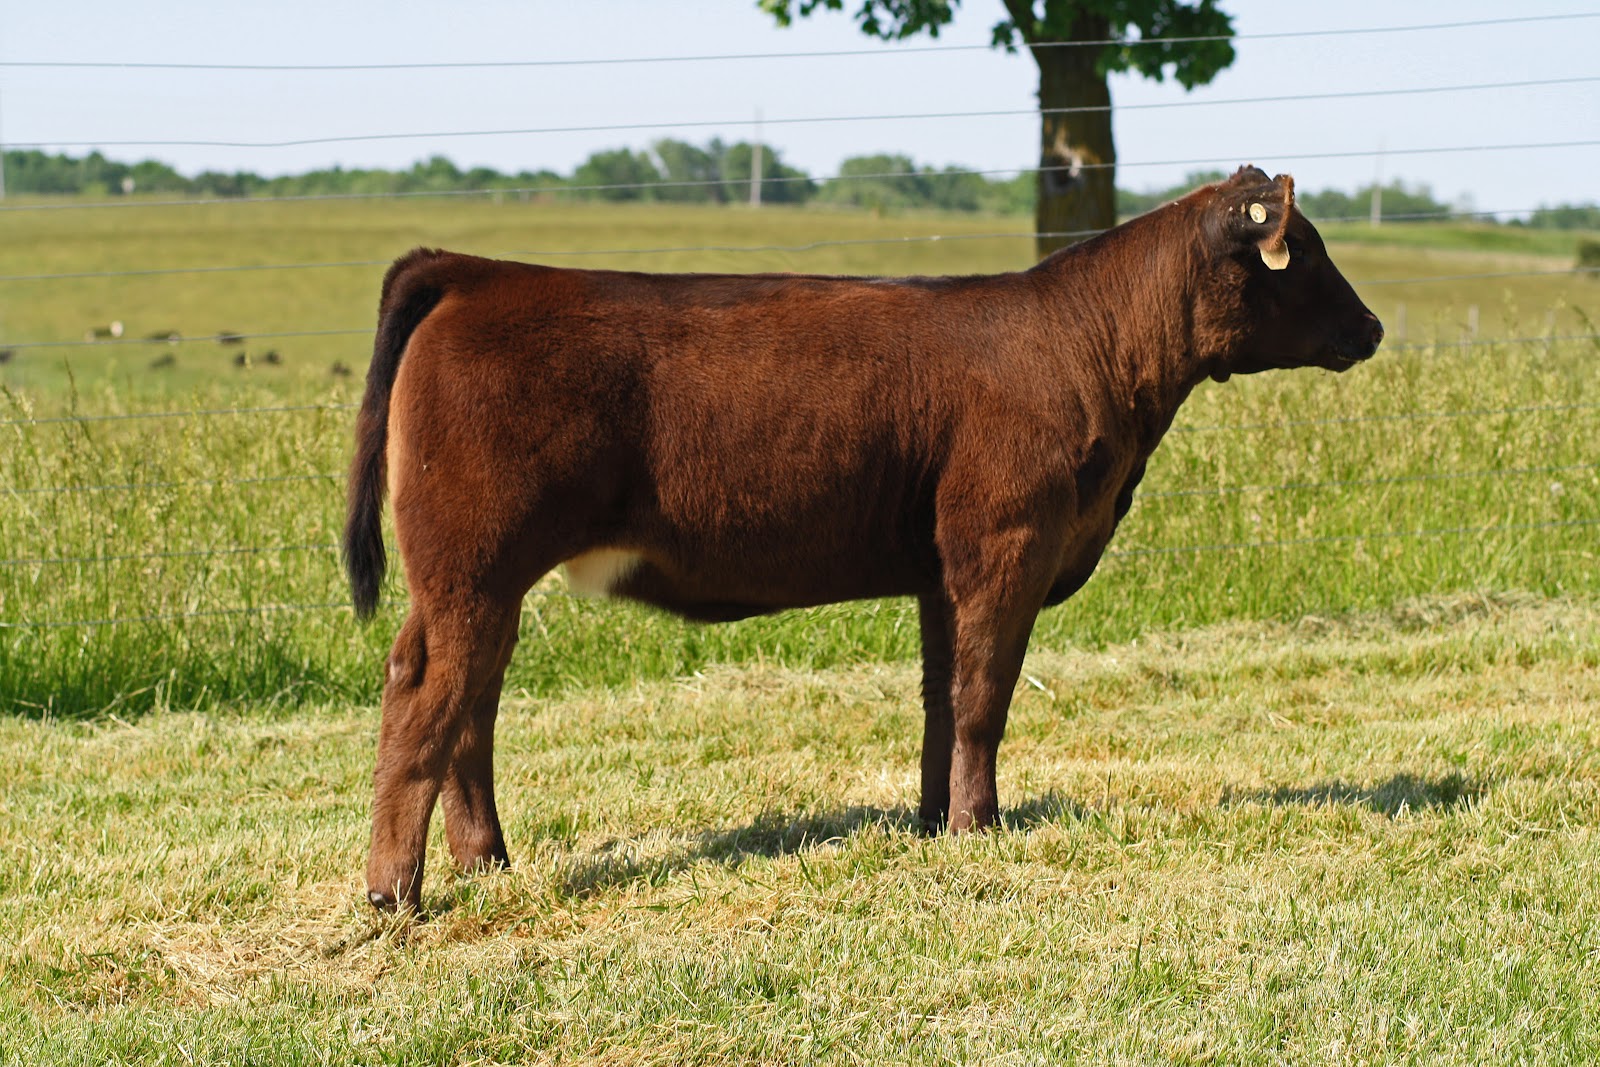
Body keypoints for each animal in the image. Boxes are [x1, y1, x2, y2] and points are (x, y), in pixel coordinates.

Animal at [344, 165, 1383, 912]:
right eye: (1306, 251)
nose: (1372, 326)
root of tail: (480, 270)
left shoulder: (941, 569)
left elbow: (940, 697)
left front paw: (935, 819)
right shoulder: (1006, 541)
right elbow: (983, 697)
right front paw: (979, 827)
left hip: (481, 580)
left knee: (472, 701)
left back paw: (488, 863)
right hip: (472, 567)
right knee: (428, 692)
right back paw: (396, 893)